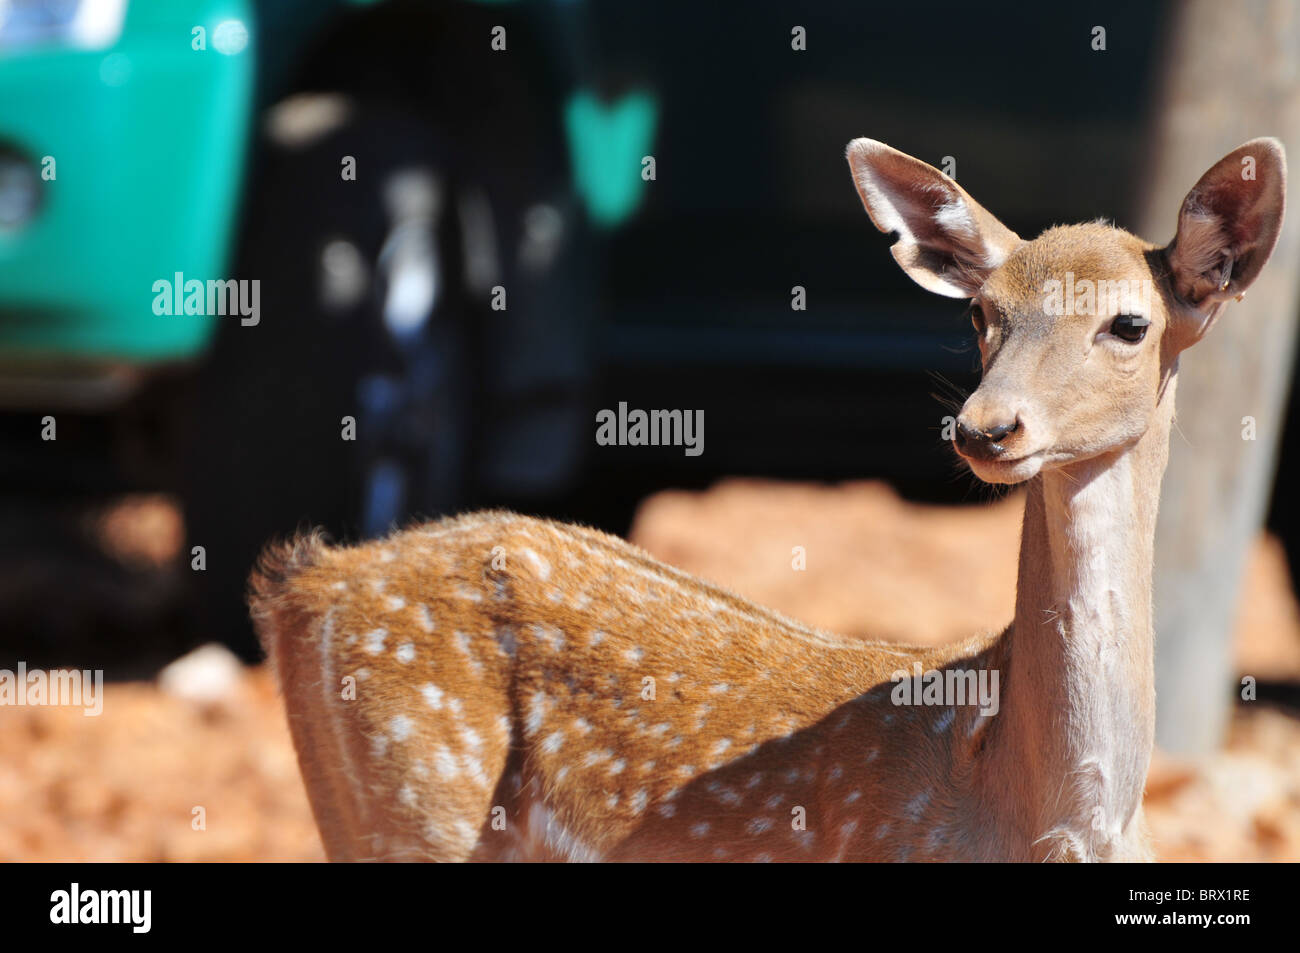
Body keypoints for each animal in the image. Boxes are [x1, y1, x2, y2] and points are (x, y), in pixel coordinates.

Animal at [251, 137, 1285, 862]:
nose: (985, 428)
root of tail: (301, 585)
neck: (1051, 821)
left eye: (1130, 323)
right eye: (981, 313)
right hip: (406, 794)